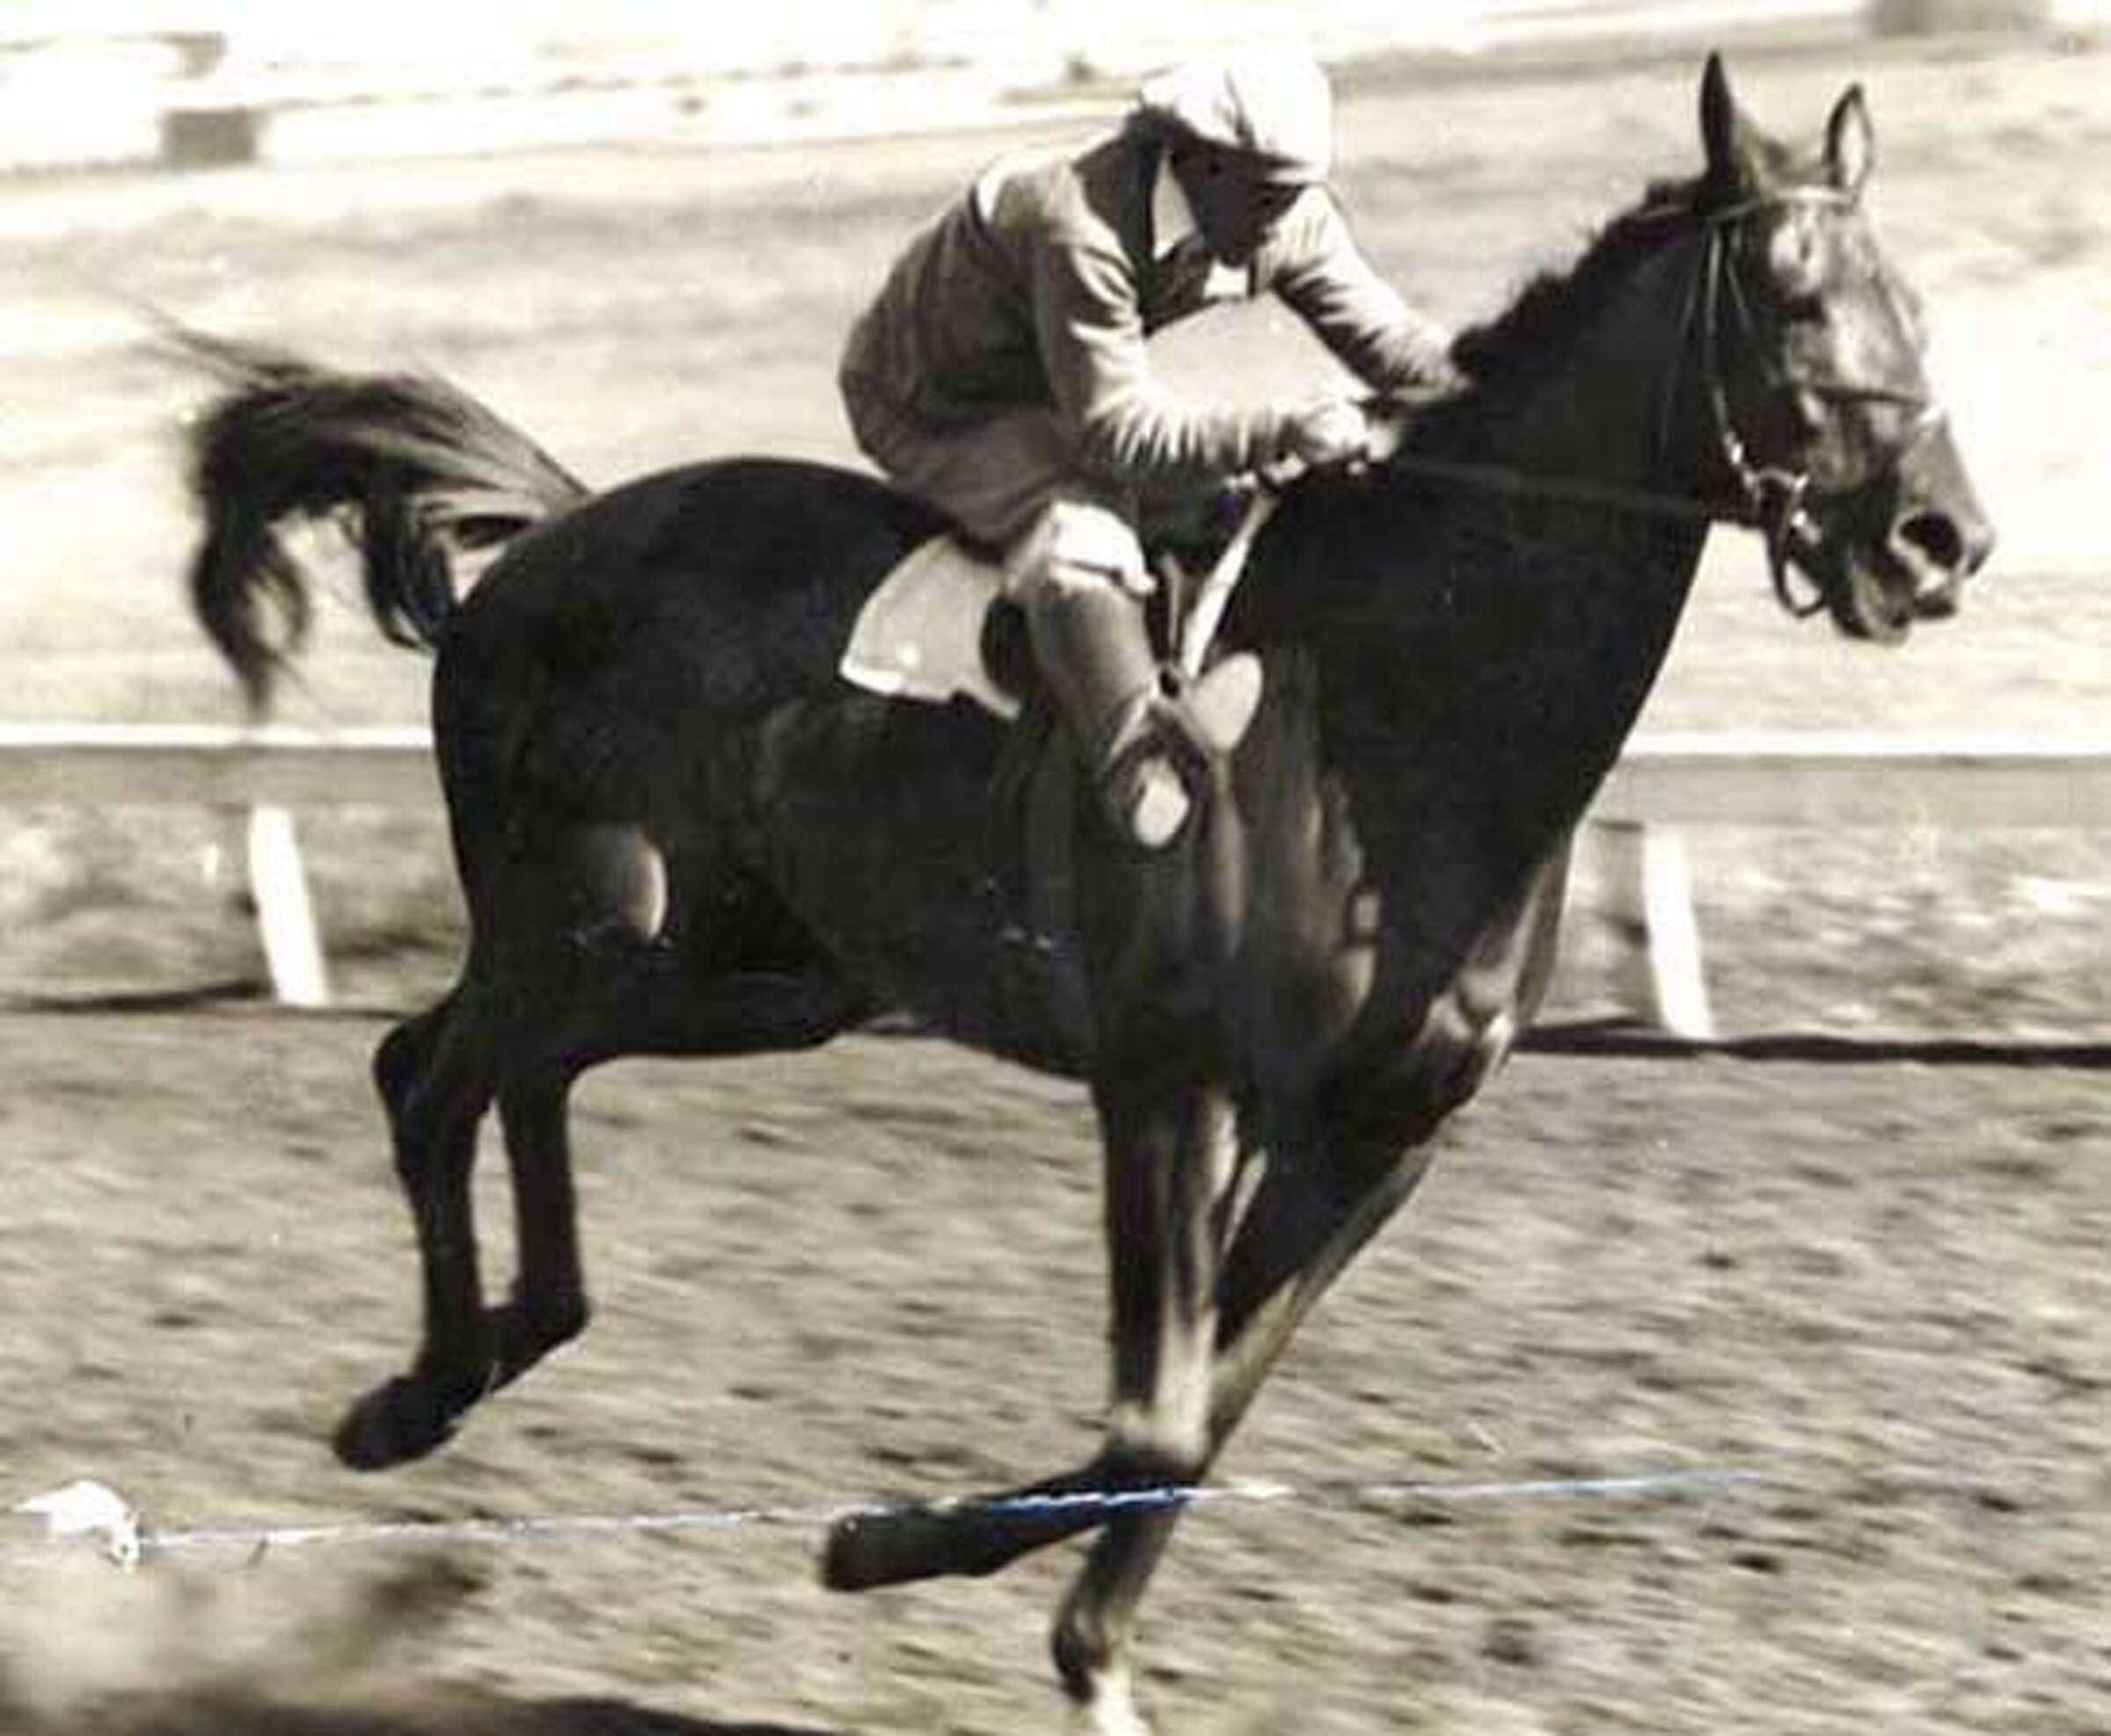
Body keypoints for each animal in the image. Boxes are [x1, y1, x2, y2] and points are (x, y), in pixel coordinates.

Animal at [180, 56, 1989, 1734]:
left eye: (1911, 299)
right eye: (1796, 301)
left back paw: (516, 1329)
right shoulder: (1172, 1088)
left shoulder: (1382, 1135)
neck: (1401, 714)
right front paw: (1042, 1633)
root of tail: (551, 537)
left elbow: (1208, 1407)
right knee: (427, 1069)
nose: (1937, 538)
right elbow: (1163, 1410)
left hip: (755, 969)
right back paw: (416, 1391)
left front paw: (904, 1549)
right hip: (590, 912)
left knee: (523, 1068)